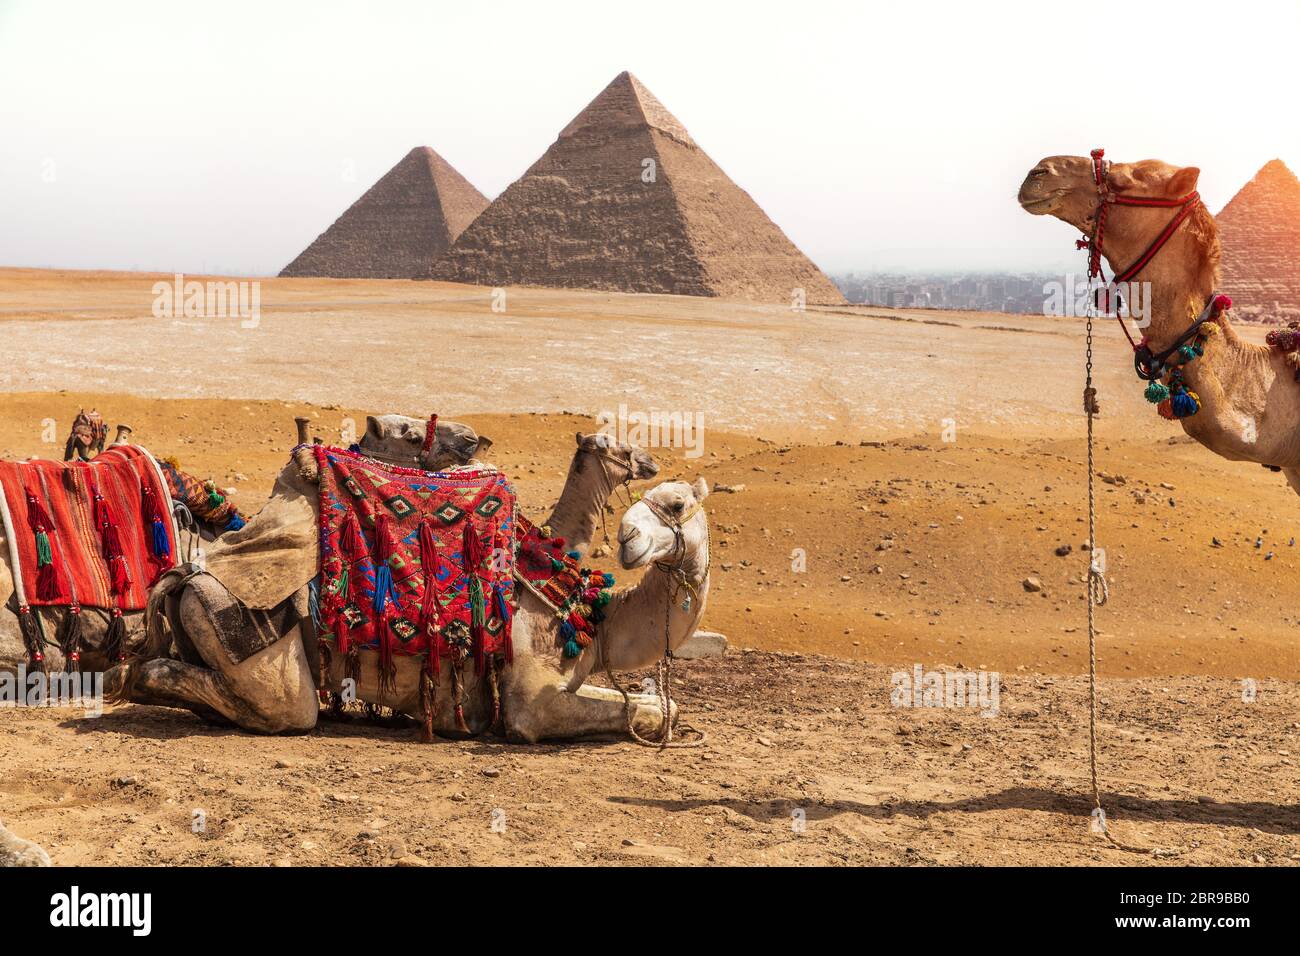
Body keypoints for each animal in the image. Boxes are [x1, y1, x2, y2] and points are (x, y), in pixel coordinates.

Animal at [105, 472, 710, 742]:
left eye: (678, 503)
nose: (629, 539)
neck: (590, 623)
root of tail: (187, 573)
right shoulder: (531, 703)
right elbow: (539, 719)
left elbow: (663, 705)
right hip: (245, 634)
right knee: (282, 707)